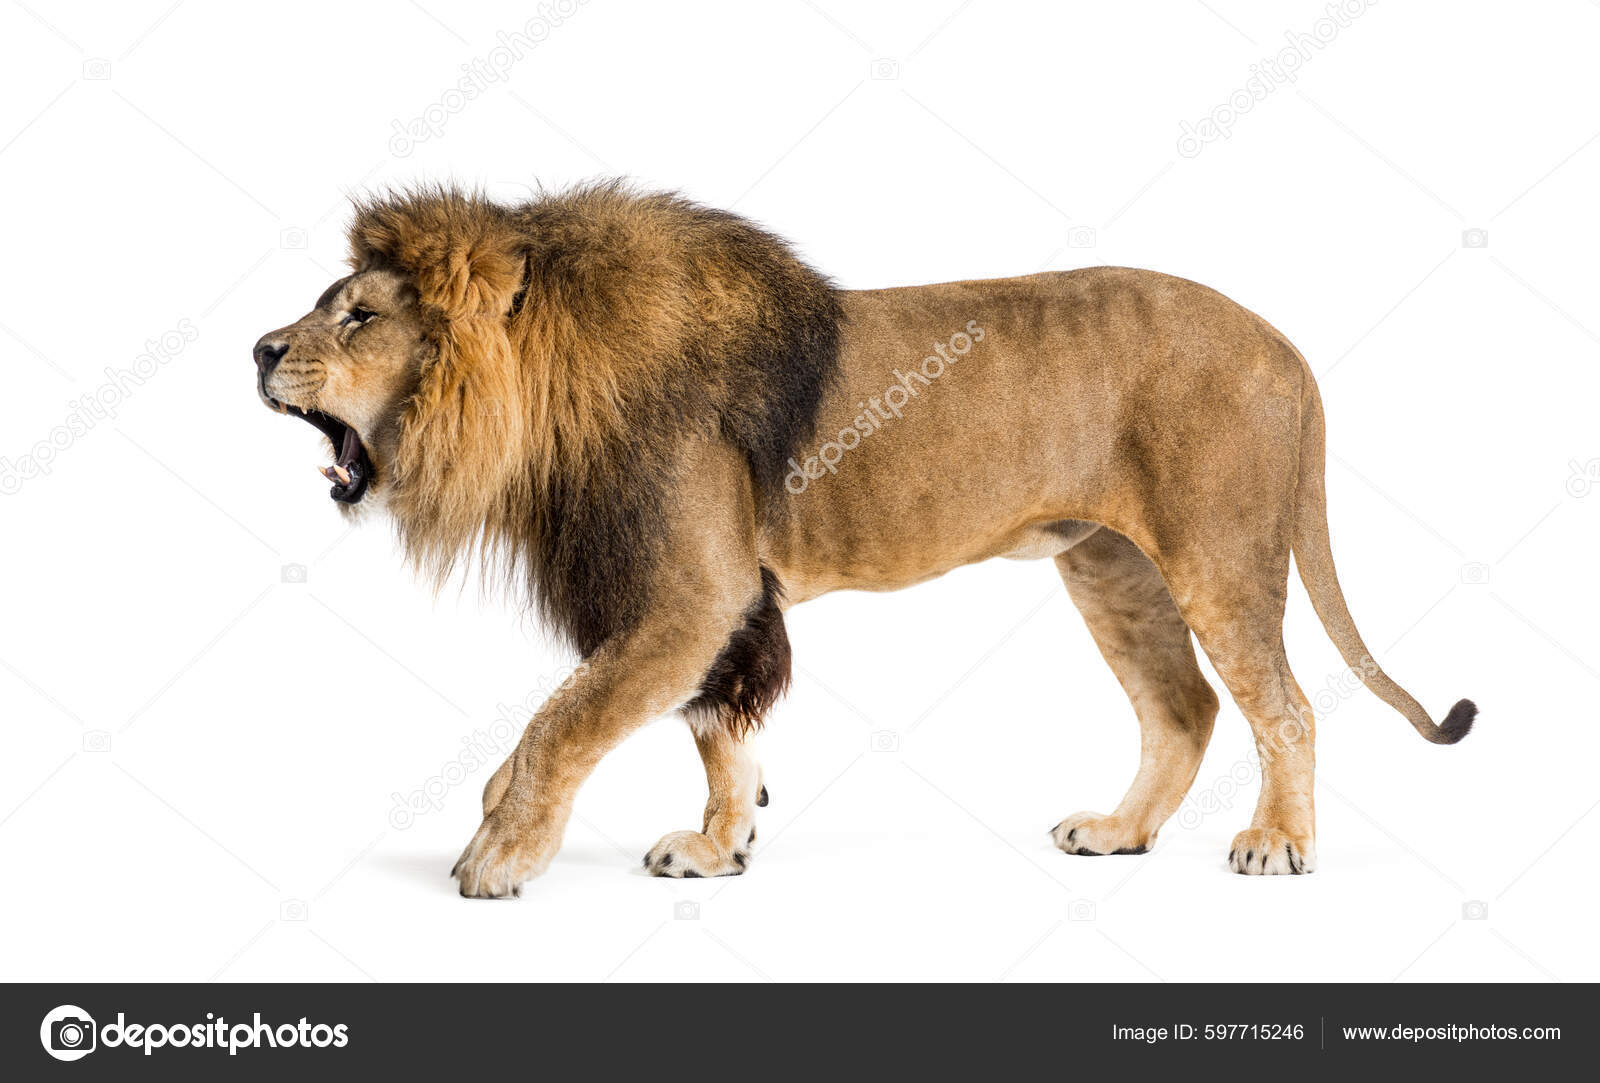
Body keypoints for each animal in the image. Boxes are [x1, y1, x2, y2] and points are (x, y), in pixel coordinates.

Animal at [252, 183, 1475, 897]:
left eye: (360, 316)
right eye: (330, 303)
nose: (259, 349)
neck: (549, 390)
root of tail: (1283, 338)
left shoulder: (689, 594)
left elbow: (563, 721)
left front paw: (500, 852)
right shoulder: (726, 605)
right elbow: (717, 732)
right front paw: (721, 847)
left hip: (1218, 554)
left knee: (1284, 705)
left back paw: (1277, 845)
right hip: (1108, 565)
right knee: (1186, 707)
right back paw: (1118, 835)